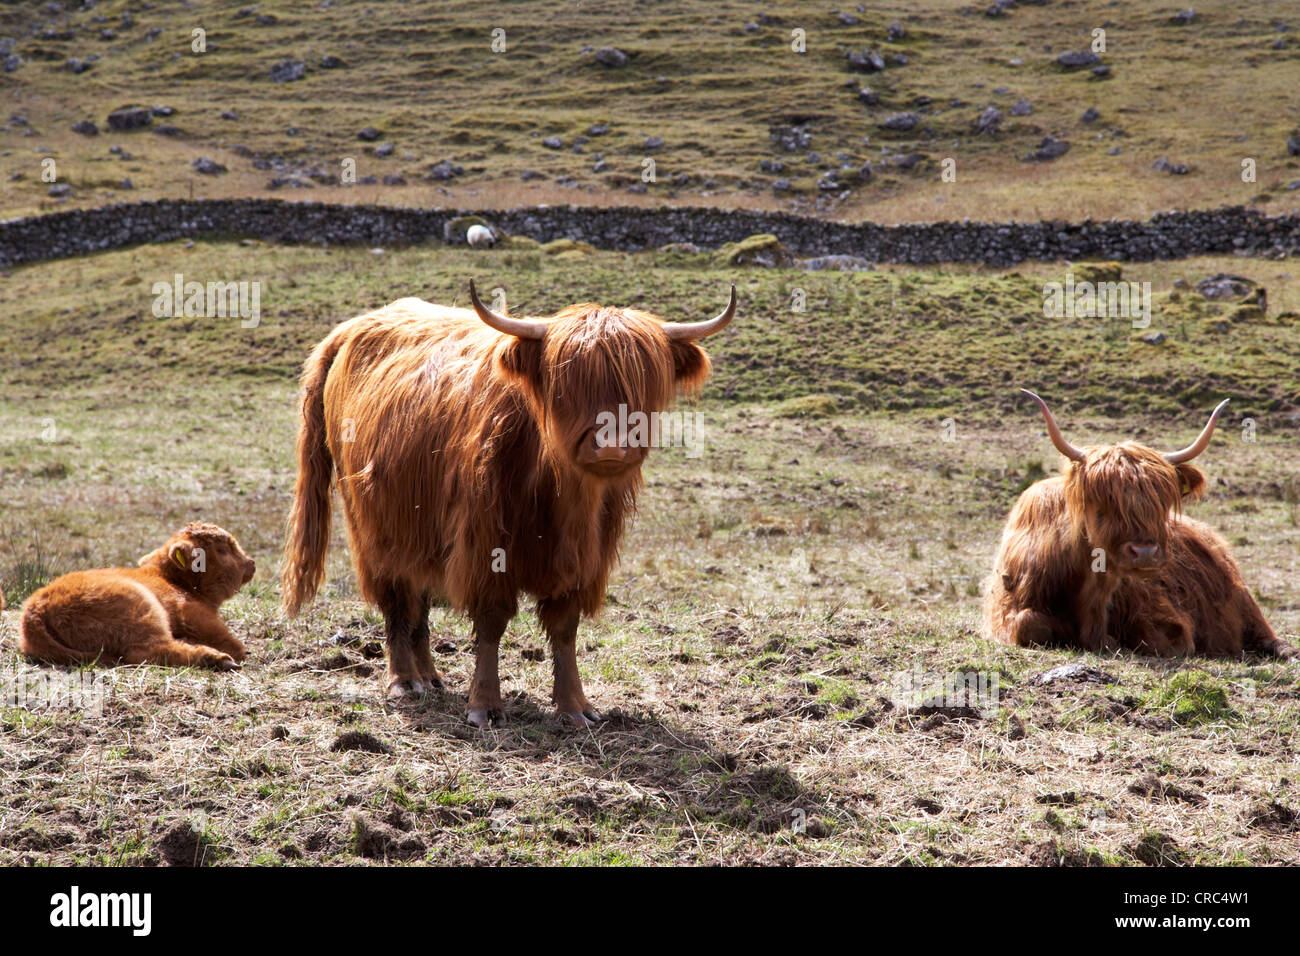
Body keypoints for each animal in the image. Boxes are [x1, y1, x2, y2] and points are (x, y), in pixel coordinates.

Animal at [19, 522, 255, 669]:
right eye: (222, 550)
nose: (251, 563)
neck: (171, 578)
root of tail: (37, 607)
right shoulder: (196, 616)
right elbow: (235, 645)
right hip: (144, 607)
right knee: (150, 650)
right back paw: (219, 659)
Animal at [280, 280, 737, 726]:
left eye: (640, 383)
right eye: (566, 385)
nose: (610, 445)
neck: (565, 501)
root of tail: (354, 326)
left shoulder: (585, 559)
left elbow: (565, 628)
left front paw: (574, 707)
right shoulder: (485, 546)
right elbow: (491, 623)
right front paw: (484, 705)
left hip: (420, 526)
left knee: (420, 601)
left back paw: (431, 677)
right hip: (372, 525)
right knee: (395, 598)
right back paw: (405, 682)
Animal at [982, 390, 1294, 658]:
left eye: (1160, 504)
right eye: (1103, 502)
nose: (1144, 553)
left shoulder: (1167, 619)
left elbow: (1162, 640)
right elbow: (1030, 624)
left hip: (1245, 602)